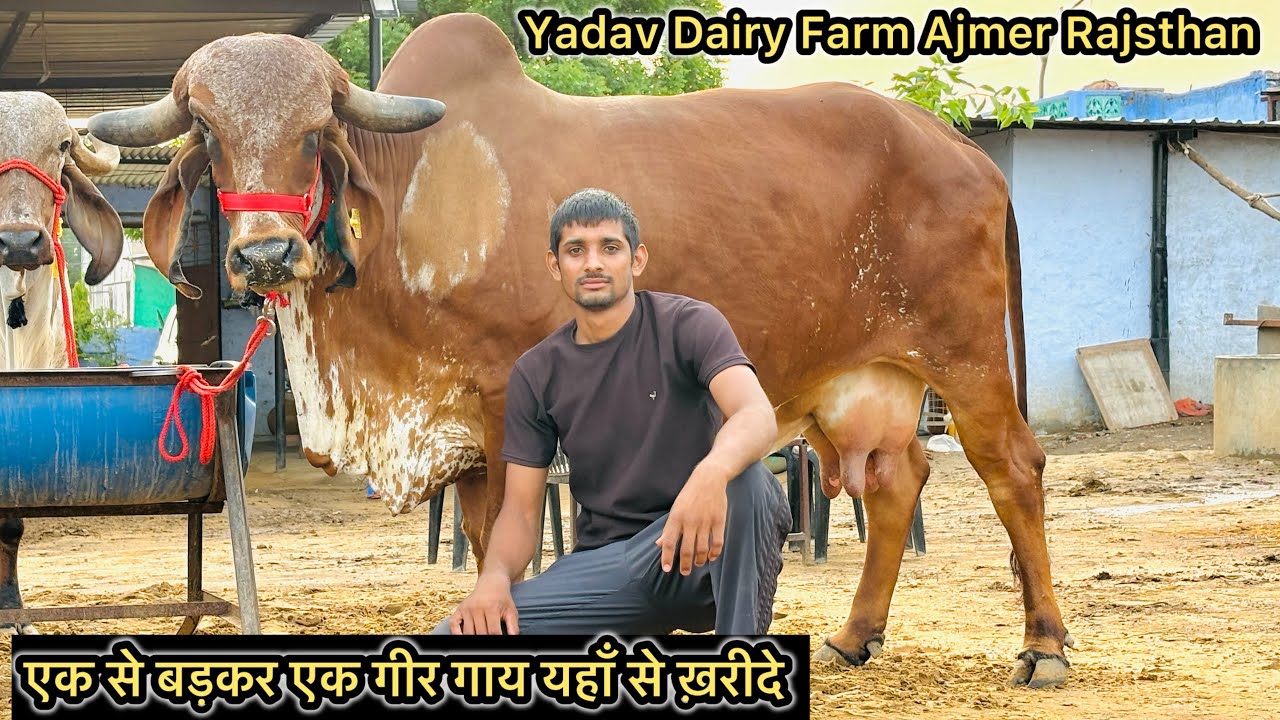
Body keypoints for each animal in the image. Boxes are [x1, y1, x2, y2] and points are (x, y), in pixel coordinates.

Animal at [87, 12, 1071, 686]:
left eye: (313, 131)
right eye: (210, 134)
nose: (263, 256)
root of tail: (954, 141)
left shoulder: (498, 403)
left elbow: (499, 538)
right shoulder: (460, 428)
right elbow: (484, 538)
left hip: (969, 358)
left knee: (1012, 469)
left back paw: (1045, 646)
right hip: (862, 381)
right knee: (898, 480)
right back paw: (854, 635)